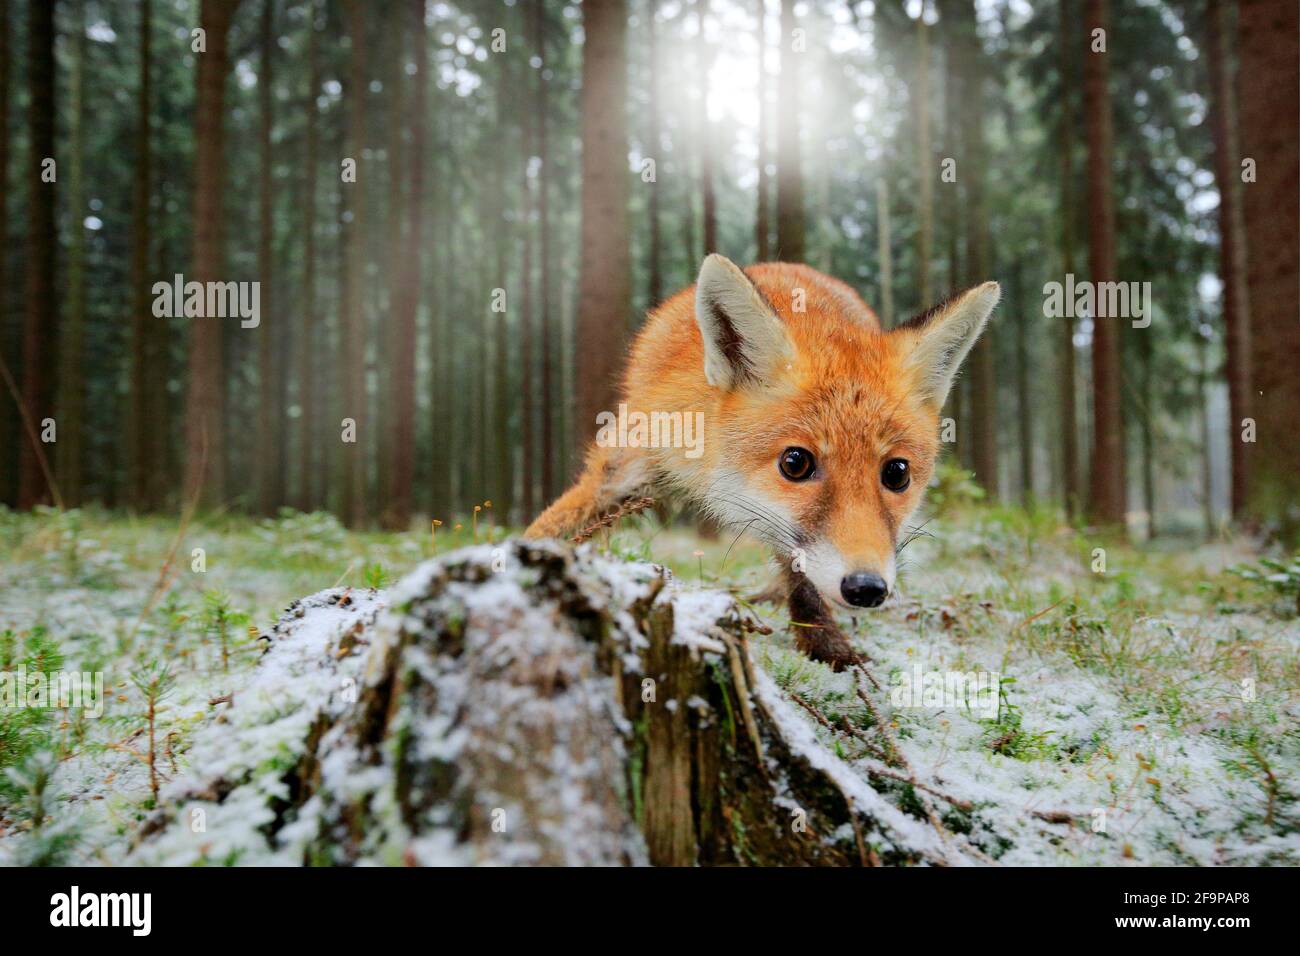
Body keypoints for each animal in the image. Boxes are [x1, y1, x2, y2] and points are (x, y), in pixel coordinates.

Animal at [526, 255, 999, 670]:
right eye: (795, 463)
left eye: (897, 473)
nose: (866, 588)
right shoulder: (630, 461)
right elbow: (557, 526)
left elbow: (803, 583)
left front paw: (828, 649)